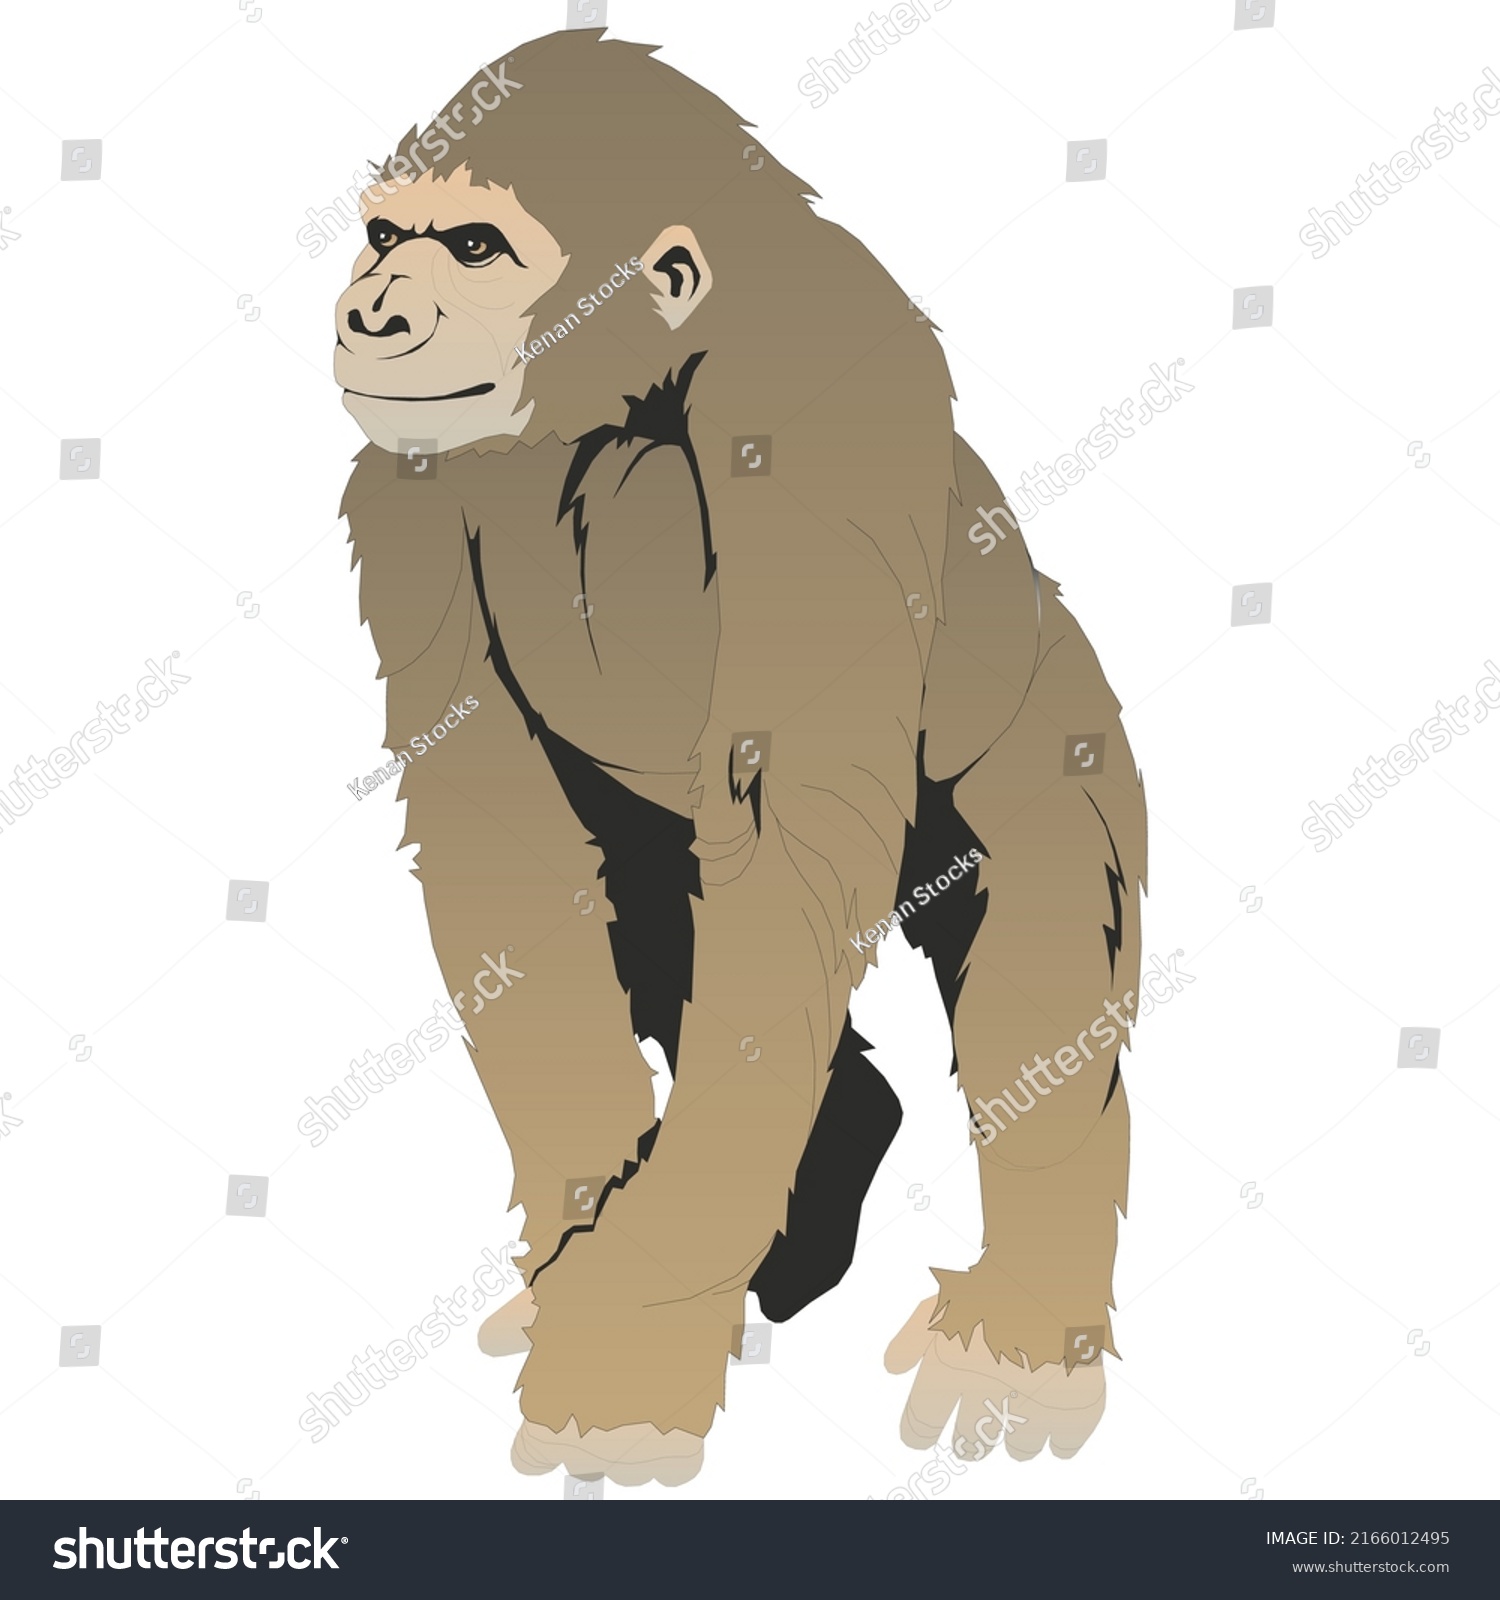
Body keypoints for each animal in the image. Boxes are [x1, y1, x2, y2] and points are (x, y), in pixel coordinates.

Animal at [333, 27, 1146, 1485]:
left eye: (476, 247)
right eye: (383, 236)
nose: (374, 308)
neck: (621, 397)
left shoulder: (831, 402)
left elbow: (783, 835)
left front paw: (628, 1329)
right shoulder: (403, 481)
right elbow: (499, 837)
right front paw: (586, 1256)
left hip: (1062, 745)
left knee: (1046, 960)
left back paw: (1020, 1338)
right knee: (660, 909)